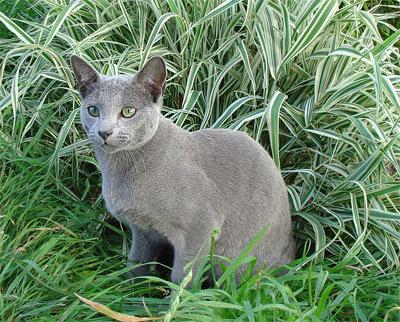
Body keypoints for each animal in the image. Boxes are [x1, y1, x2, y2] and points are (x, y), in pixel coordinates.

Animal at [72, 55, 296, 284]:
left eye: (128, 111)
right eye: (93, 110)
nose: (104, 132)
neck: (120, 169)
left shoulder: (200, 228)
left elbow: (182, 277)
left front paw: (174, 295)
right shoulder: (143, 231)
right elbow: (136, 263)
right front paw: (130, 287)